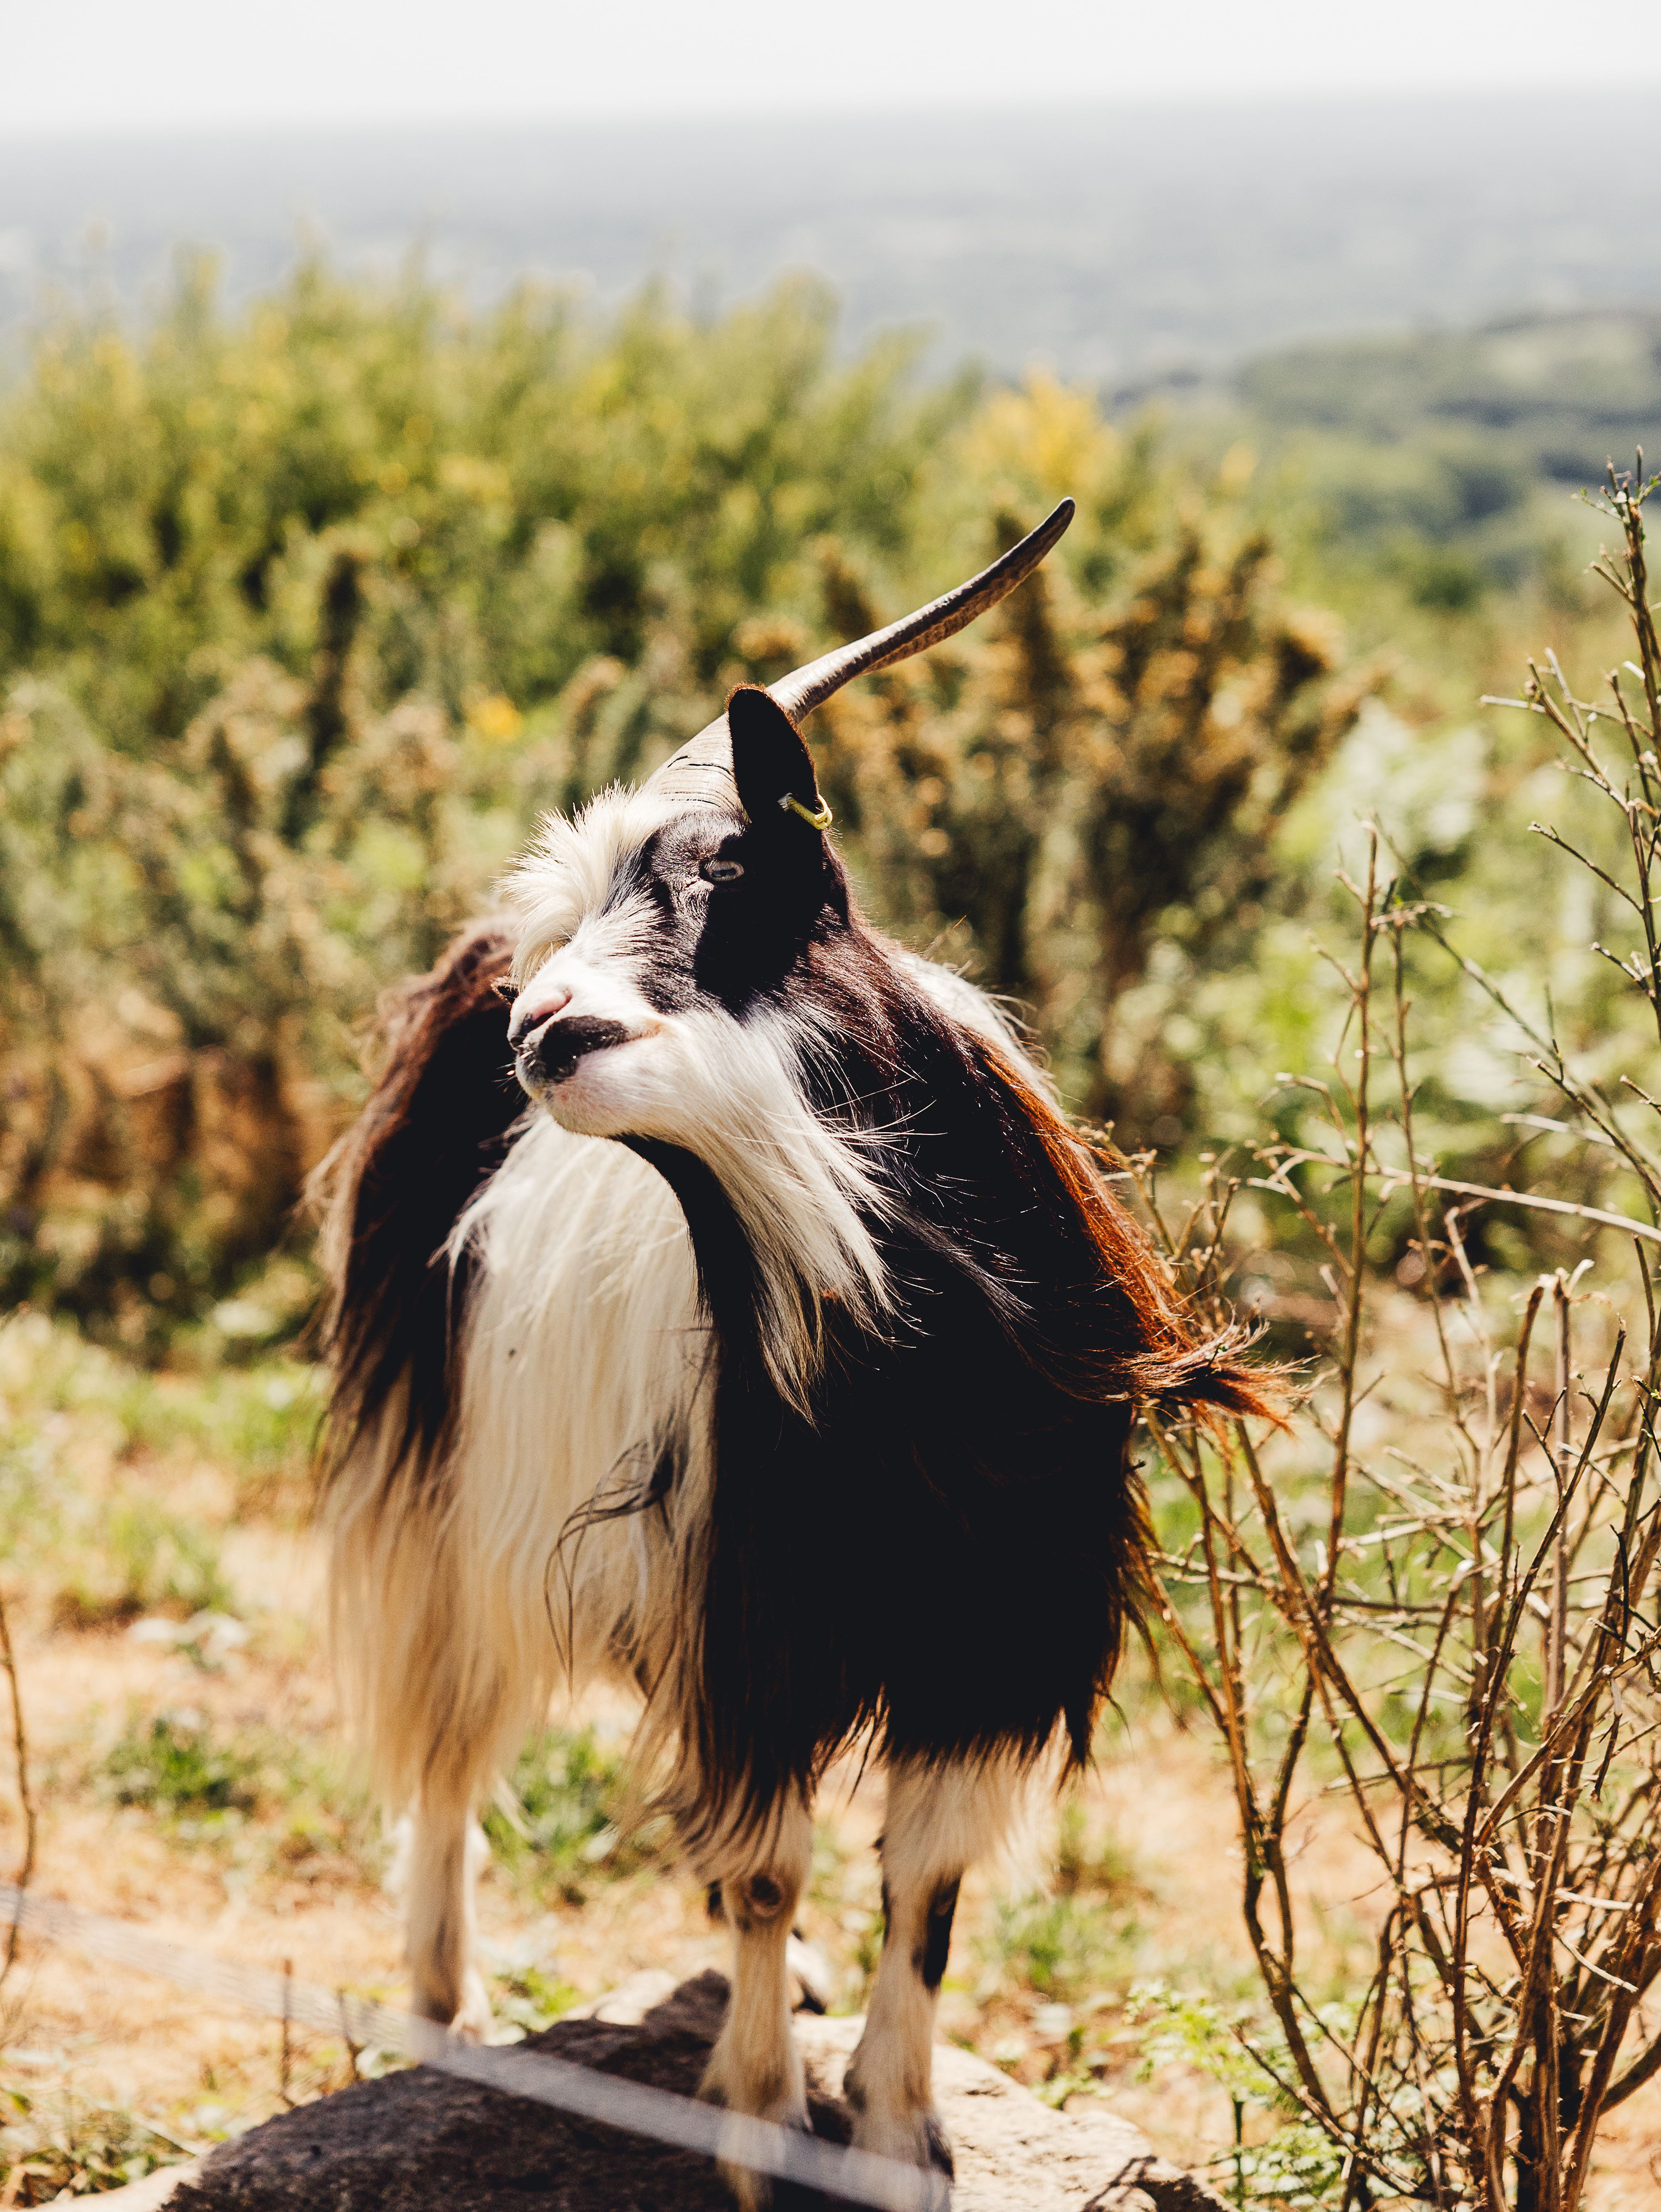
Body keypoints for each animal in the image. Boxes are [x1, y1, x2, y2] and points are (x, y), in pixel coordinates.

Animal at [316, 499, 1272, 2202]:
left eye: (728, 879)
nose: (542, 1031)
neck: (915, 1389)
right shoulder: (754, 1625)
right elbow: (767, 1861)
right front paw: (763, 2122)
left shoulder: (991, 1635)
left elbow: (926, 1884)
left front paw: (895, 2133)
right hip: (439, 1500)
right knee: (445, 1742)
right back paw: (444, 2003)